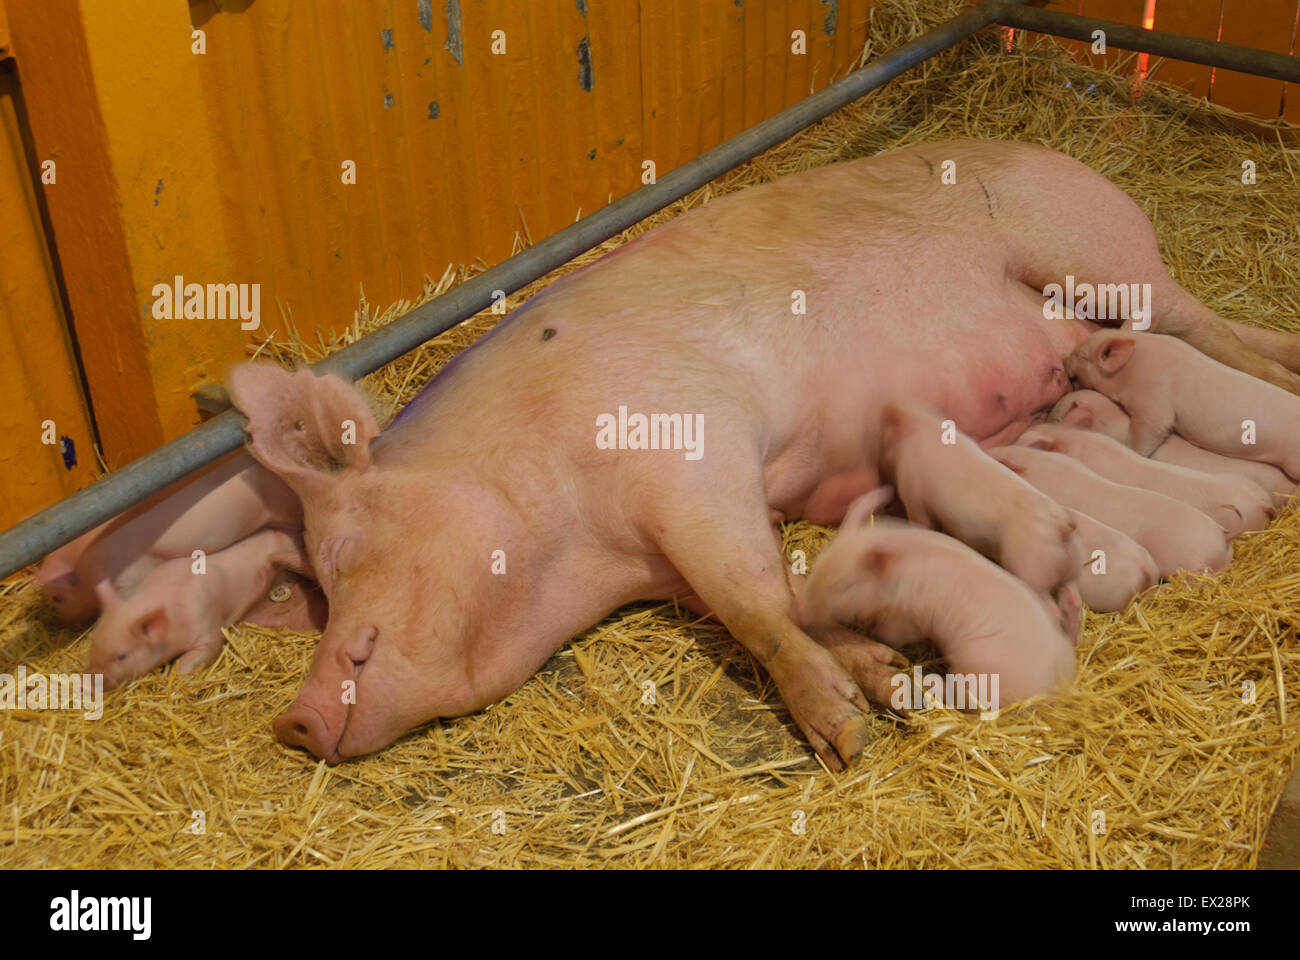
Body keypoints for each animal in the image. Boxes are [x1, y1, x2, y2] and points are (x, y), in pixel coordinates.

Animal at [796, 497, 1075, 712]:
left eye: (843, 586)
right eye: (818, 565)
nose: (800, 614)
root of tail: (1057, 678)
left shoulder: (905, 618)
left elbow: (892, 635)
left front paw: (873, 633)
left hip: (982, 672)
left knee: (962, 696)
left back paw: (929, 680)